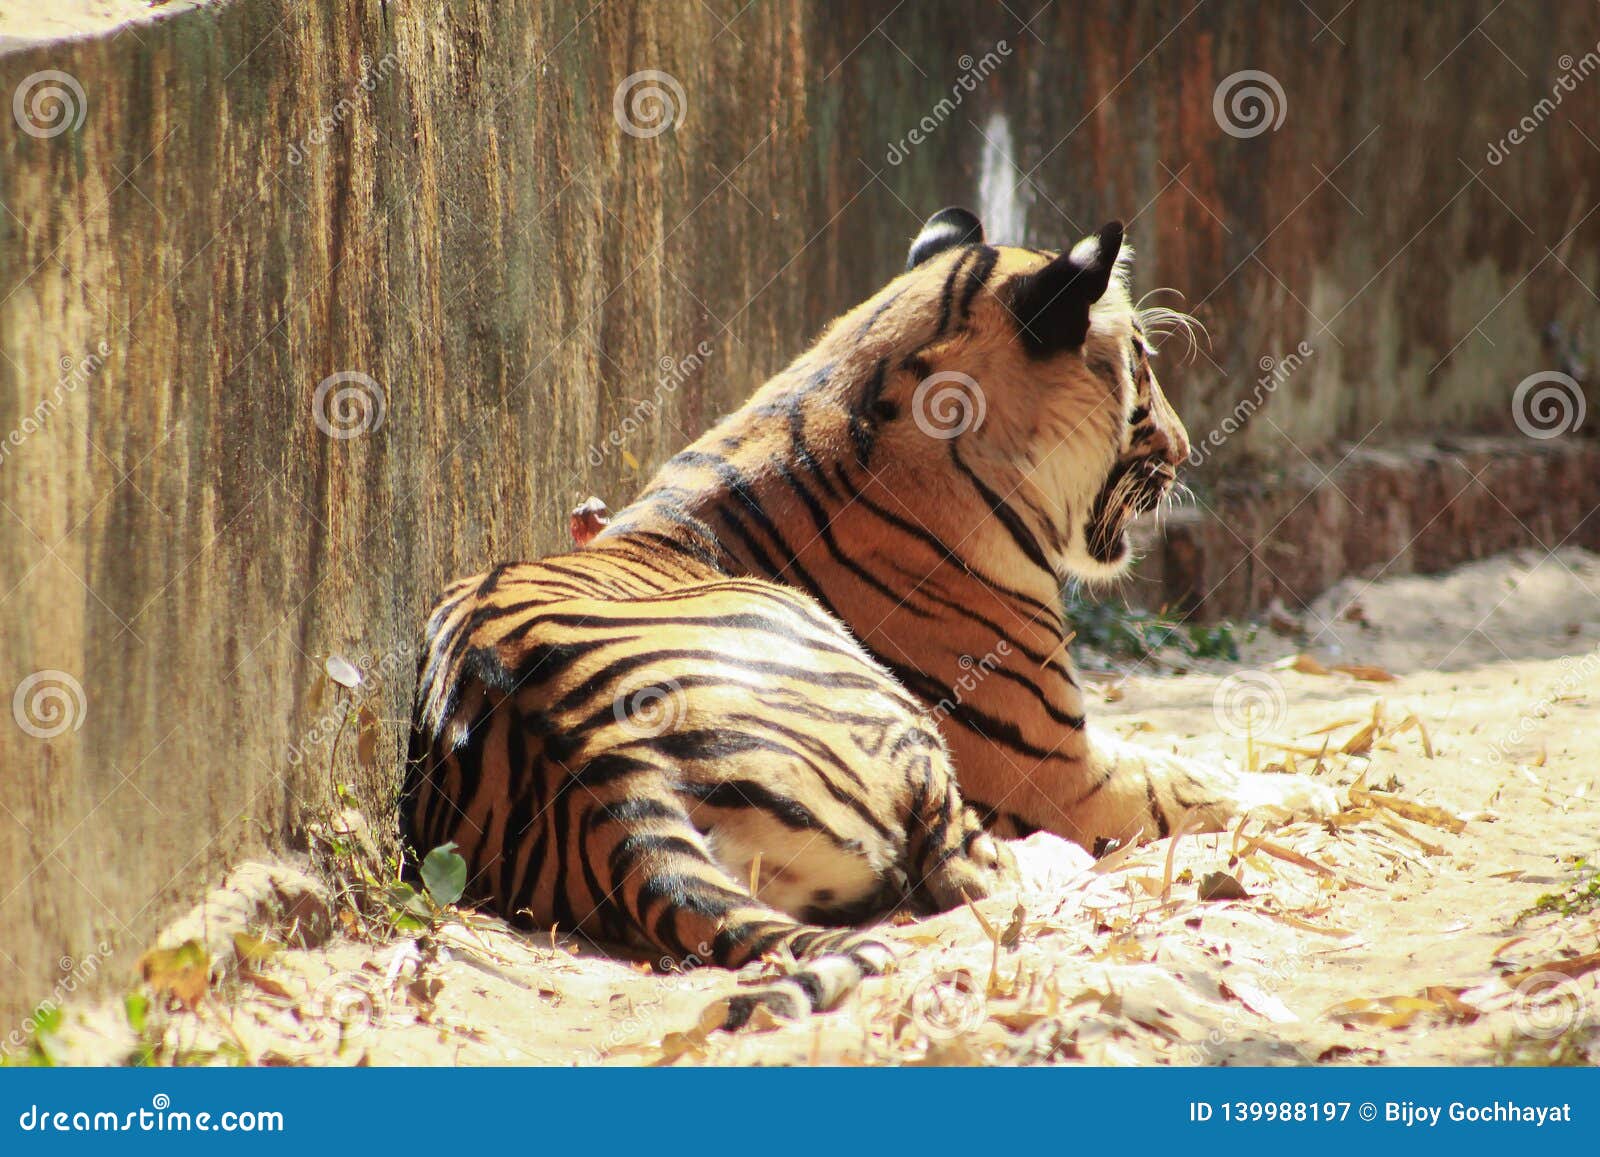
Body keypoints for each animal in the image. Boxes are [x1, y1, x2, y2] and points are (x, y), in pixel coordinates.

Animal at [403, 208, 1336, 1028]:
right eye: (1142, 361)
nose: (1182, 448)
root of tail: (597, 760)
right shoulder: (1059, 767)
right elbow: (1203, 778)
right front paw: (1321, 786)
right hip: (906, 728)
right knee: (980, 875)